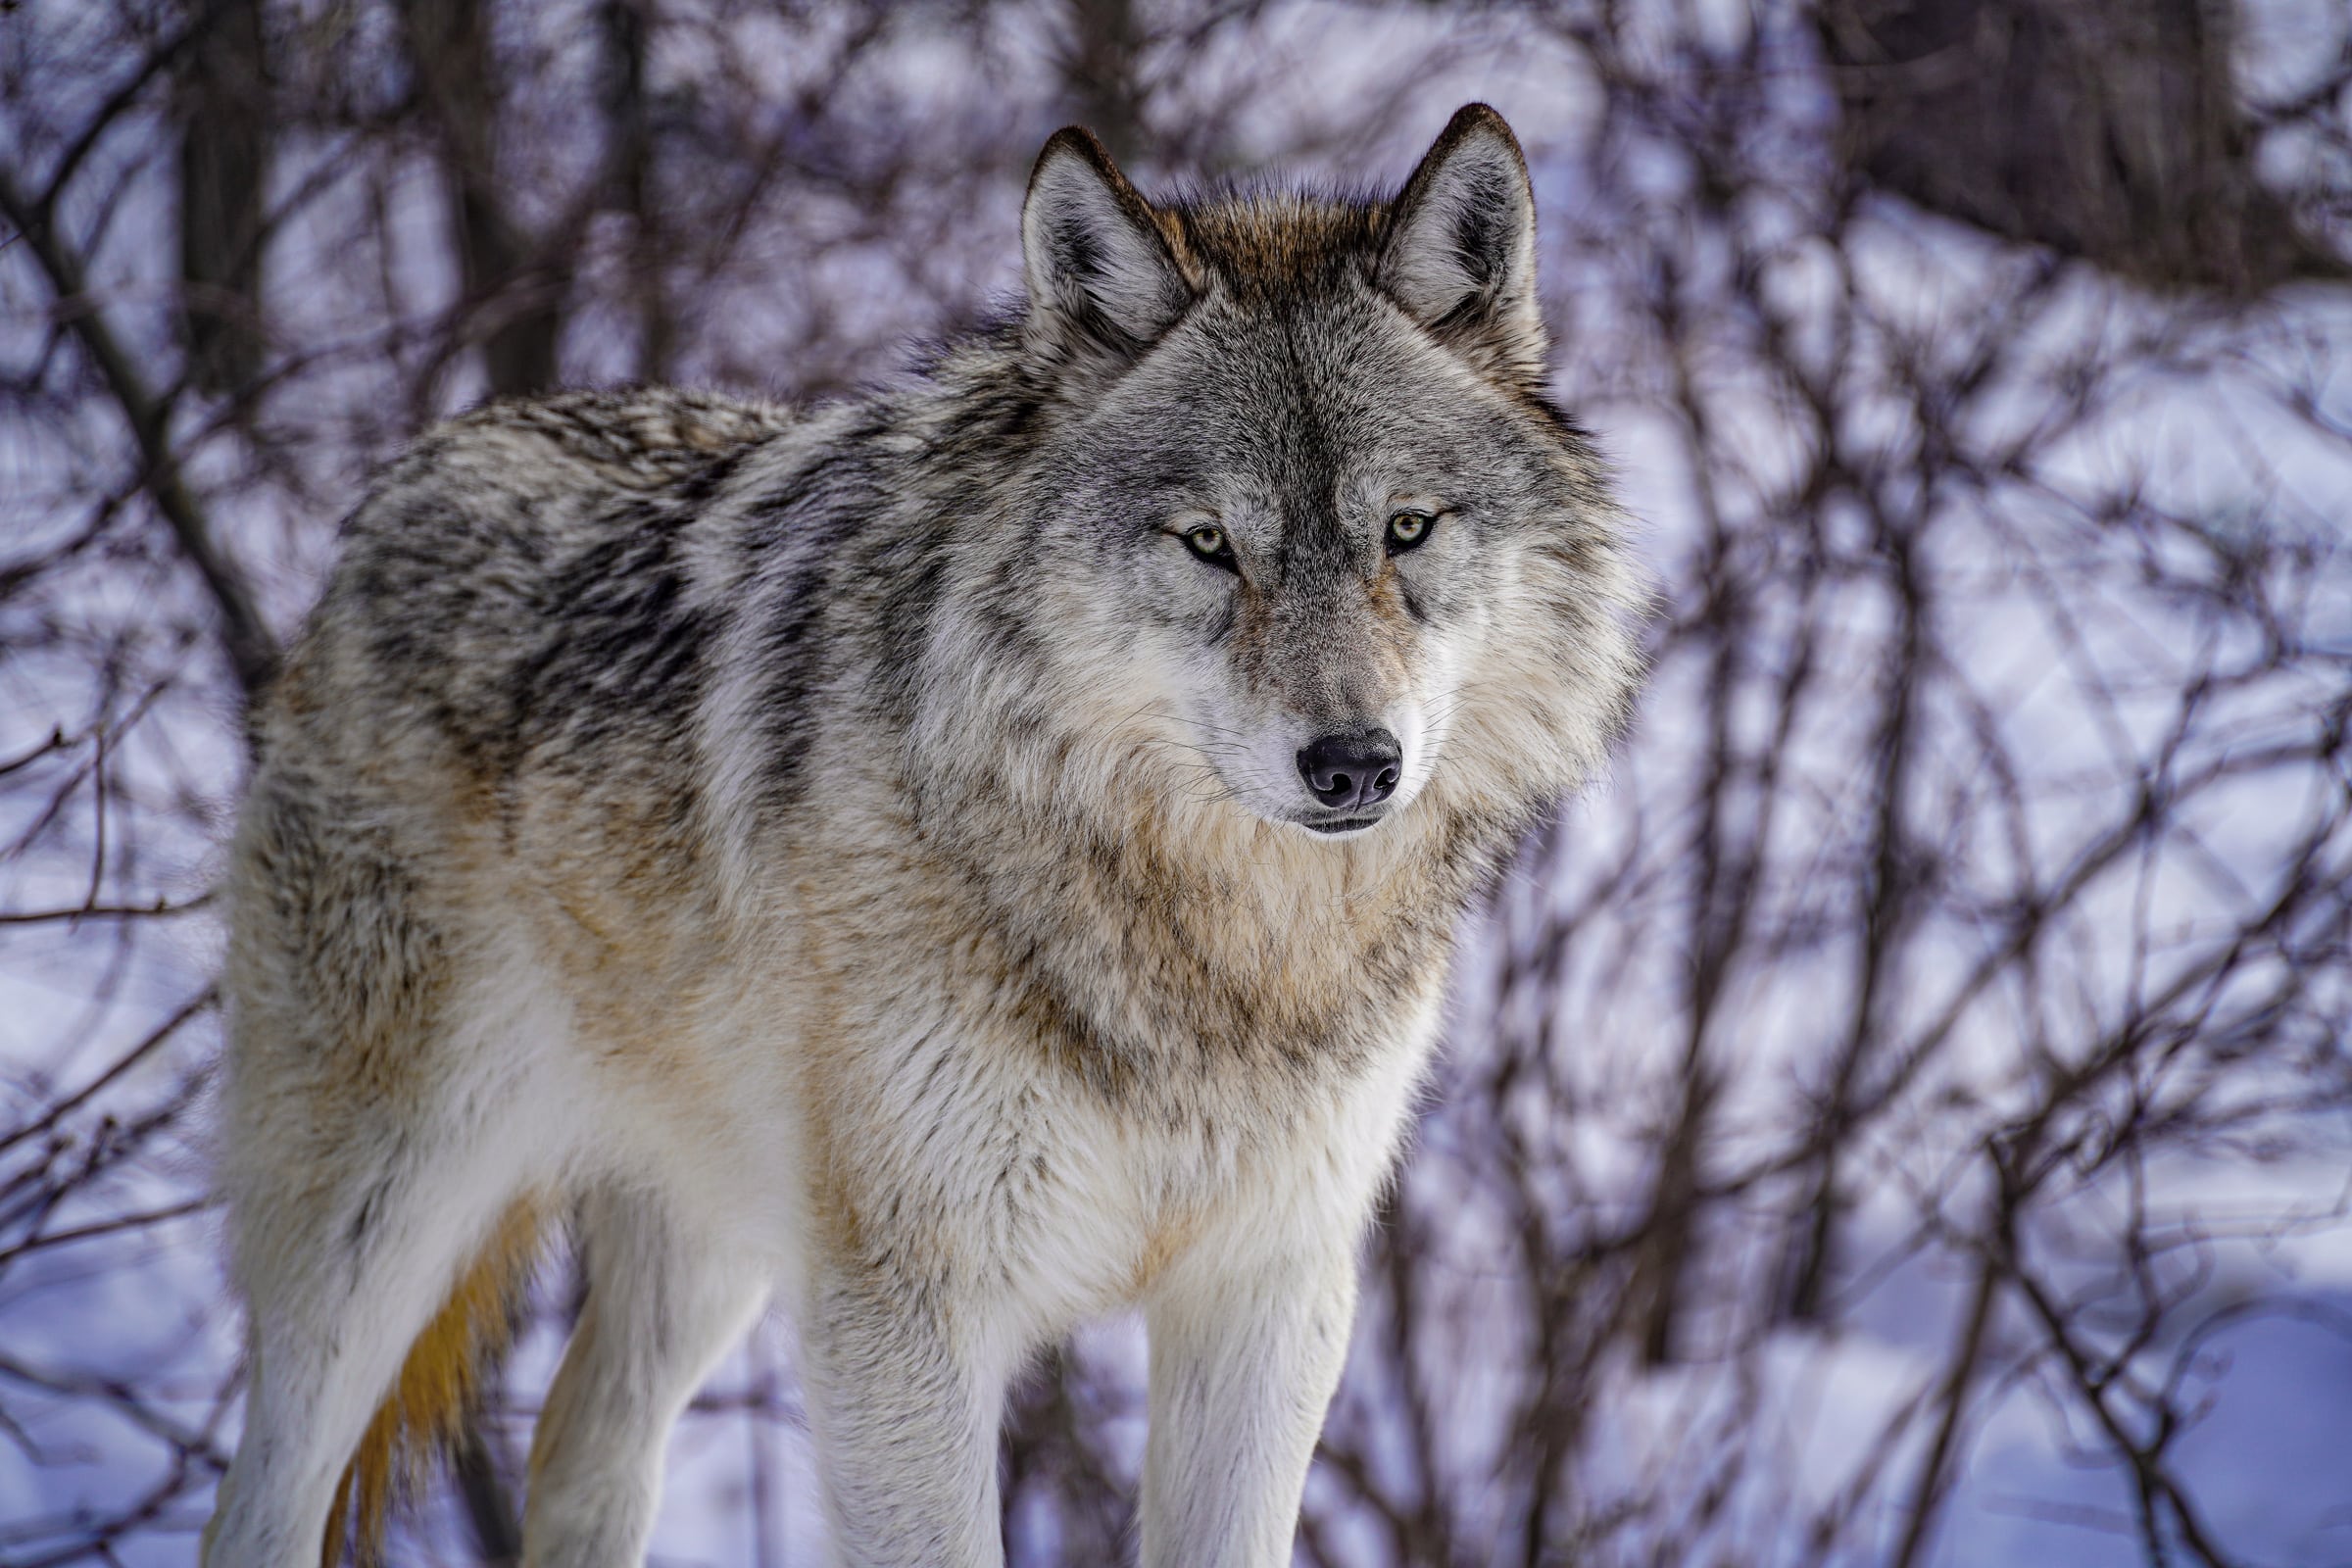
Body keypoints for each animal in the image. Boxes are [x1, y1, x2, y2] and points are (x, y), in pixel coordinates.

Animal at [198, 103, 1645, 1567]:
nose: (1354, 763)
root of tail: (415, 469)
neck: (1212, 947)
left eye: (1406, 530)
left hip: (715, 1248)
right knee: (260, 1497)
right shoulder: (905, 1315)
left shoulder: (1269, 1293)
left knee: (578, 1454)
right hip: (377, 1233)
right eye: (1207, 543)